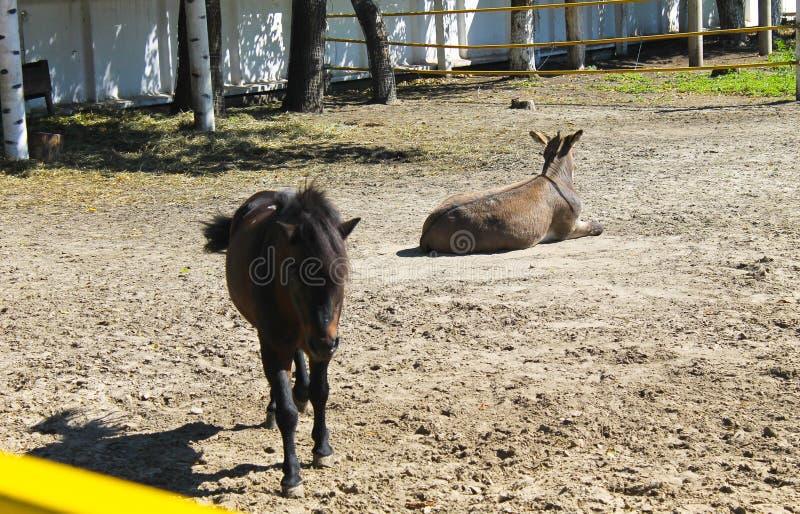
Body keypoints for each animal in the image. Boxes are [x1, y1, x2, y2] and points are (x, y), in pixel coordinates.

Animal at [203, 185, 359, 498]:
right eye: (297, 273)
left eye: (342, 274)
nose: (324, 342)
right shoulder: (275, 345)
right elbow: (288, 413)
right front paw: (292, 476)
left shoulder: (322, 346)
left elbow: (321, 392)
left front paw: (322, 448)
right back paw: (276, 406)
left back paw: (300, 391)